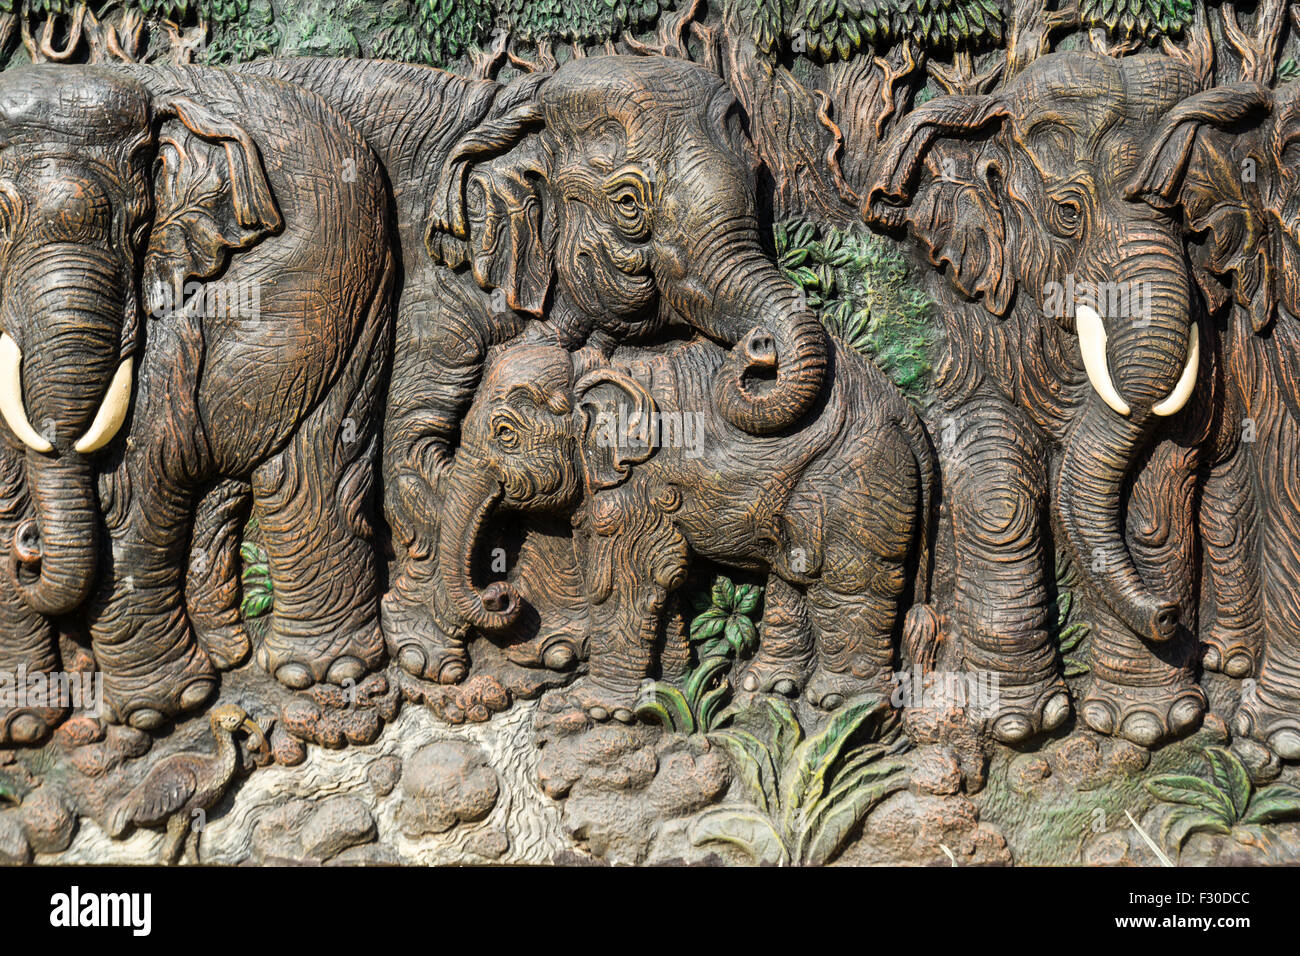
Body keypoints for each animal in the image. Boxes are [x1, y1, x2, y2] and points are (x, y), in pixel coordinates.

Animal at [0, 64, 394, 736]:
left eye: (137, 229)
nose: (31, 548)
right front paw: (21, 726)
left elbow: (135, 479)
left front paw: (163, 710)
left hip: (348, 292)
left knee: (312, 458)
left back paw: (322, 671)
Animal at [239, 54, 832, 688]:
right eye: (629, 203)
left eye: (758, 189)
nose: (757, 356)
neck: (513, 102)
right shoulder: (442, 282)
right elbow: (419, 444)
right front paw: (428, 659)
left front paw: (557, 651)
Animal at [434, 336, 934, 717]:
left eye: (505, 433)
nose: (501, 596)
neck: (599, 369)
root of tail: (905, 417)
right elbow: (665, 577)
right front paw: (670, 682)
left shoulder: (635, 485)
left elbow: (624, 582)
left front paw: (596, 708)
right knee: (794, 571)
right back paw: (768, 686)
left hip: (858, 480)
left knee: (847, 580)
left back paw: (843, 704)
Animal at [862, 51, 1211, 746]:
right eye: (1068, 214)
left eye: (1183, 216)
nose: (1166, 616)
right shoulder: (973, 309)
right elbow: (996, 492)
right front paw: (1019, 725)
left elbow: (1152, 499)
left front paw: (1149, 723)